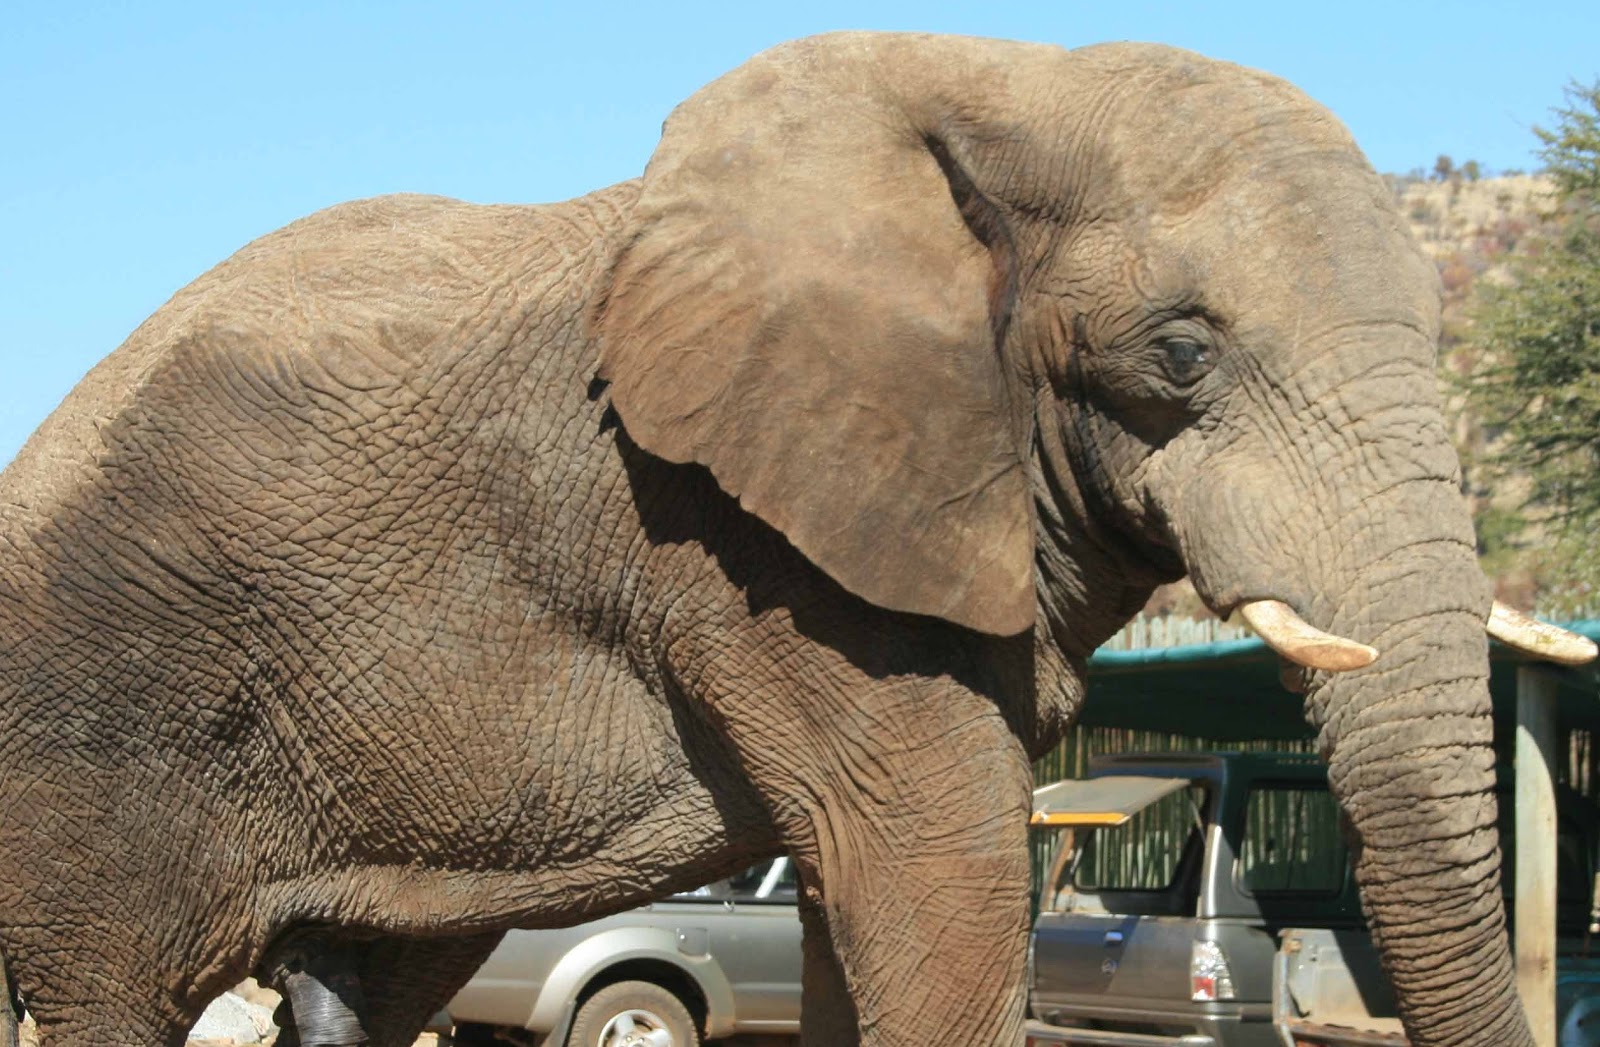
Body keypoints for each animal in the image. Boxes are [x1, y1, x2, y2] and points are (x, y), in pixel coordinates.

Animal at [0, 30, 1591, 1047]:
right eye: (1183, 351)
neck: (1005, 80)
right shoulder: (752, 548)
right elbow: (938, 878)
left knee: (375, 986)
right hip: (98, 720)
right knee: (113, 993)